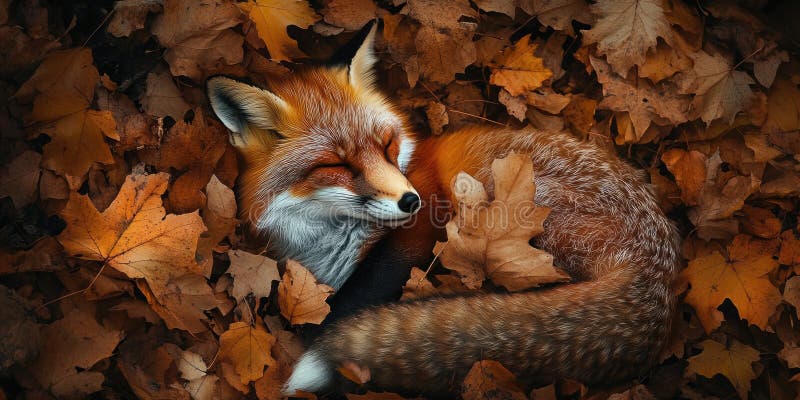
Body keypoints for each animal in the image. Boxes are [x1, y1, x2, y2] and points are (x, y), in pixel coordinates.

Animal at [206, 24, 681, 396]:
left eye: (387, 145)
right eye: (335, 165)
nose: (410, 200)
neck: (330, 237)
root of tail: (660, 275)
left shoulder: (419, 236)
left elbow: (352, 299)